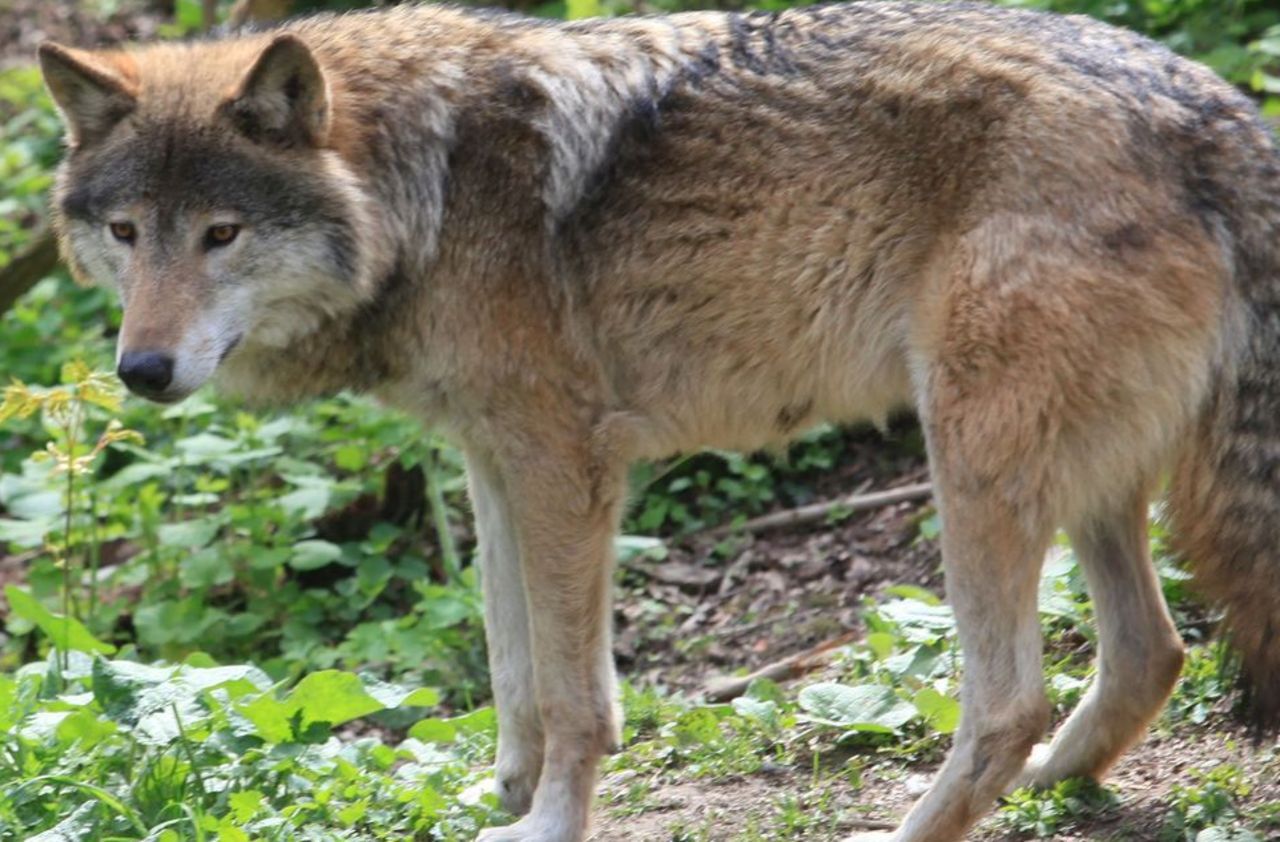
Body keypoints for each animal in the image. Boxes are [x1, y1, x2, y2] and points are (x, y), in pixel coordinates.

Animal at [37, 1, 1280, 839]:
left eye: (222, 234)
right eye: (128, 231)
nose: (141, 368)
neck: (425, 186)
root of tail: (1214, 107)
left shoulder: (563, 459)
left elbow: (573, 693)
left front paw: (548, 822)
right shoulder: (492, 457)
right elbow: (510, 670)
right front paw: (501, 800)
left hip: (967, 460)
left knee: (1011, 697)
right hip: (1078, 480)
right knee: (1150, 650)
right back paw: (1050, 787)